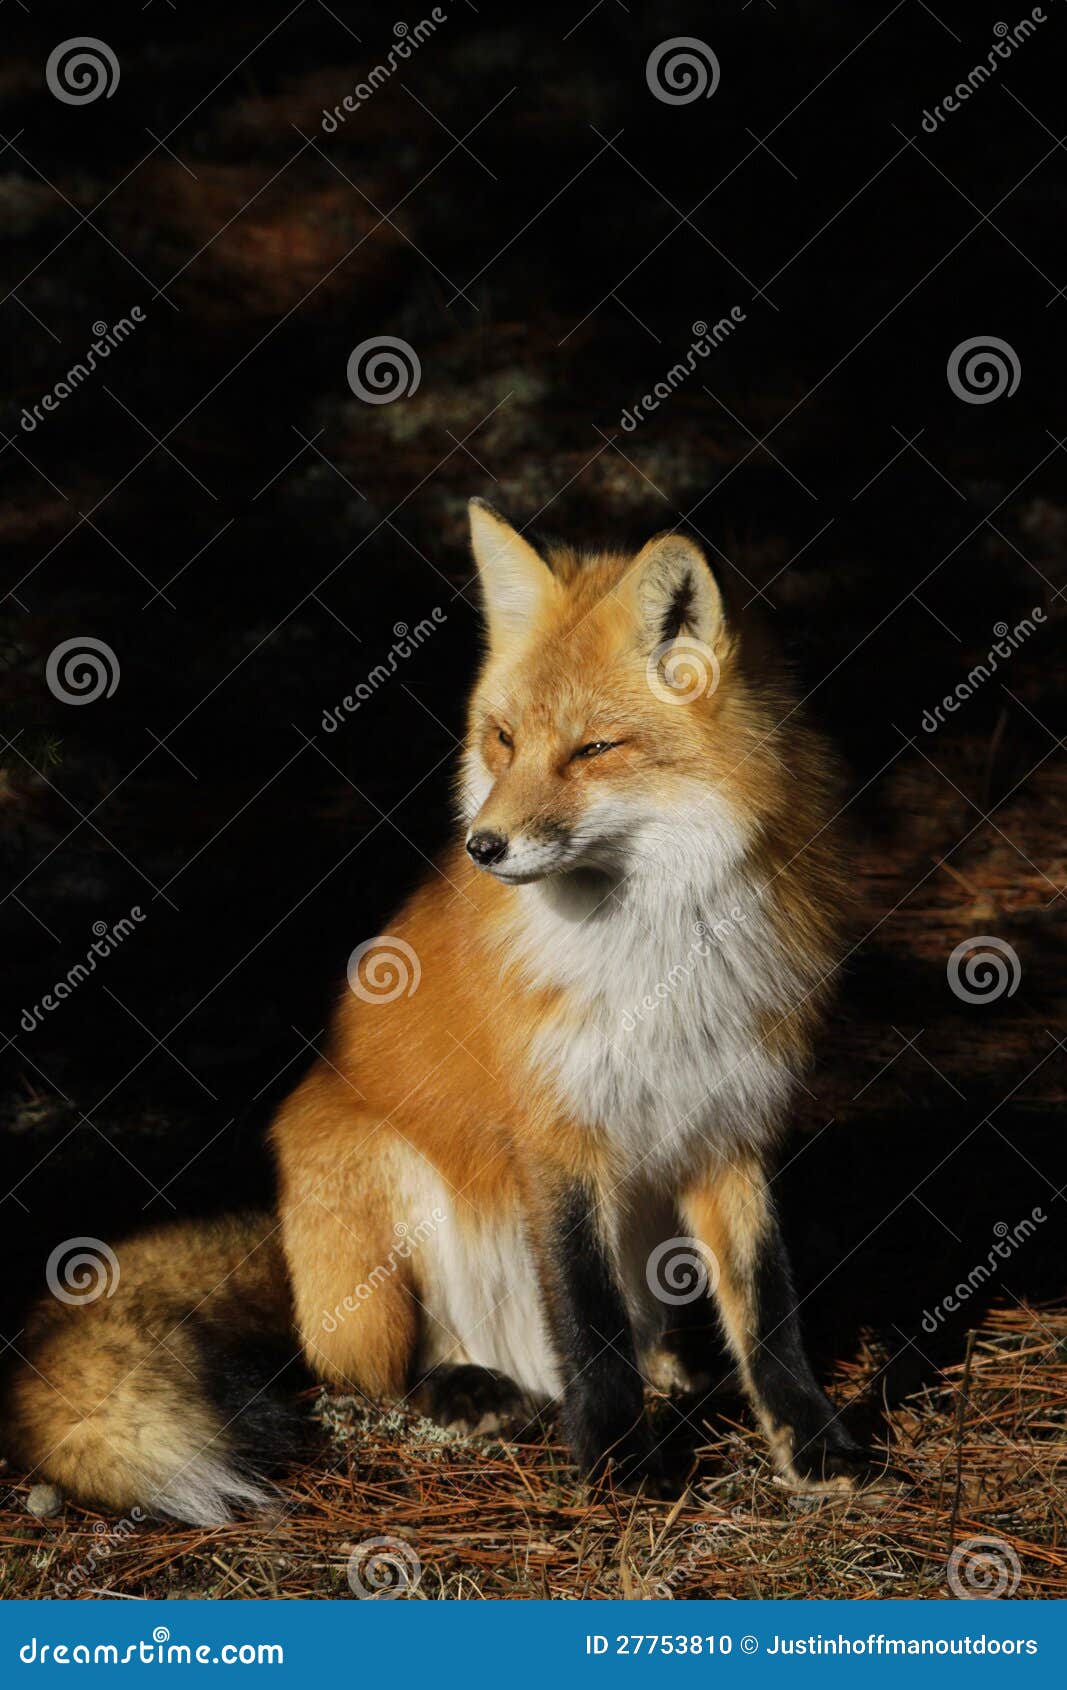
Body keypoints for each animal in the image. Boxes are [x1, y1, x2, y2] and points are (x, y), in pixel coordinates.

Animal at [6, 499, 885, 1523]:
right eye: (501, 739)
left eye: (593, 749)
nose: (483, 846)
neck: (655, 955)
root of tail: (286, 1243)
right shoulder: (554, 1135)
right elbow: (587, 1318)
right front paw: (617, 1462)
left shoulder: (730, 1127)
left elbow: (769, 1311)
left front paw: (812, 1445)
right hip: (380, 1187)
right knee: (362, 1373)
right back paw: (468, 1390)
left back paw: (667, 1367)